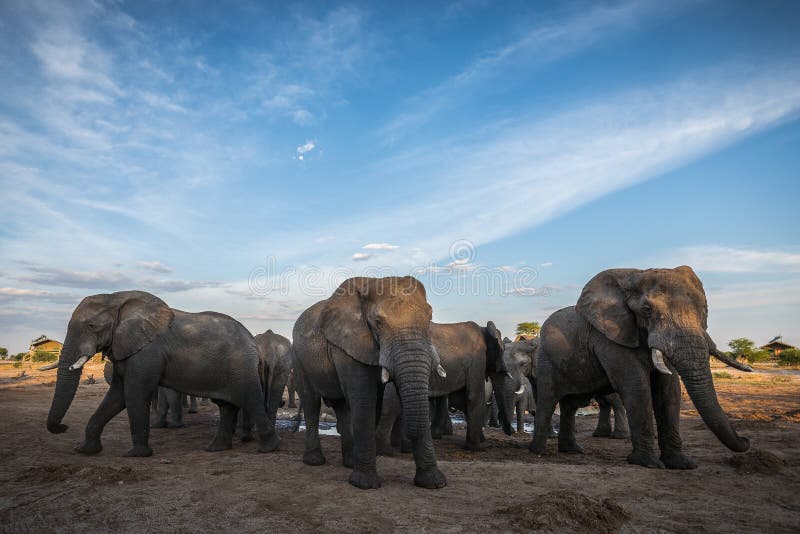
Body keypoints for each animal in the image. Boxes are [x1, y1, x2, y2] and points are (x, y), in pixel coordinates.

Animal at [46, 290, 280, 456]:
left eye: (92, 325)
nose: (63, 427)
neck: (117, 298)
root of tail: (253, 342)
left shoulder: (148, 351)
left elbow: (134, 393)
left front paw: (136, 455)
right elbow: (117, 396)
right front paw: (84, 450)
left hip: (241, 366)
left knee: (251, 399)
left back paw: (268, 449)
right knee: (226, 406)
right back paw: (215, 448)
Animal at [293, 276, 447, 489]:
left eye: (429, 319)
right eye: (378, 323)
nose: (402, 447)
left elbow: (380, 403)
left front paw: (434, 483)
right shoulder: (348, 344)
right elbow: (364, 402)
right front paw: (364, 484)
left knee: (341, 407)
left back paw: (349, 463)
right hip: (299, 359)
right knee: (311, 404)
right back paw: (314, 461)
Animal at [376, 320, 514, 453]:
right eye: (502, 350)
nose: (511, 432)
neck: (483, 328)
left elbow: (463, 401)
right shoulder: (477, 360)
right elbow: (474, 396)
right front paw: (476, 449)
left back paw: (405, 449)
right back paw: (388, 451)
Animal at [529, 266, 752, 469]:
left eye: (704, 309)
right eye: (647, 311)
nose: (746, 440)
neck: (634, 275)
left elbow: (669, 389)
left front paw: (682, 464)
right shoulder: (611, 336)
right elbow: (637, 387)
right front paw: (648, 464)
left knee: (570, 405)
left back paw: (572, 451)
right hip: (546, 360)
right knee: (548, 400)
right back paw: (538, 452)